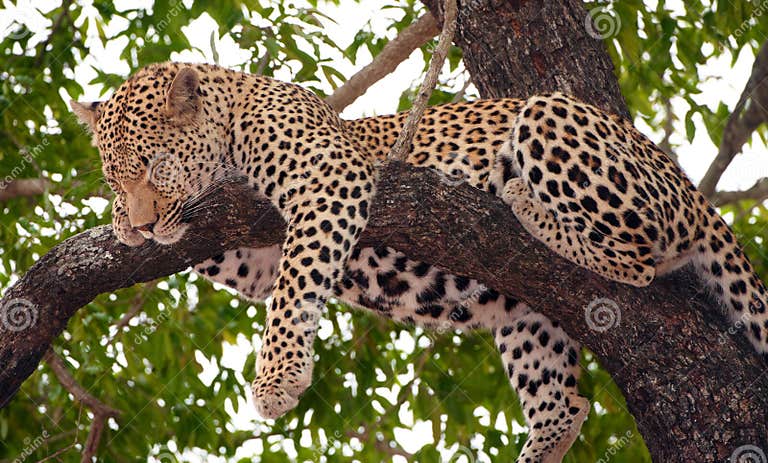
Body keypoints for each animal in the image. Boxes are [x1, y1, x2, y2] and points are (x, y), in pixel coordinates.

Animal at [69, 61, 767, 462]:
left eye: (155, 164)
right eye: (114, 174)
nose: (139, 226)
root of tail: (688, 185)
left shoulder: (329, 178)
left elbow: (297, 285)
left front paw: (277, 379)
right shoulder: (252, 254)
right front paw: (122, 227)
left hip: (553, 116)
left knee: (640, 257)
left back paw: (520, 200)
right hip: (528, 313)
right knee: (566, 404)